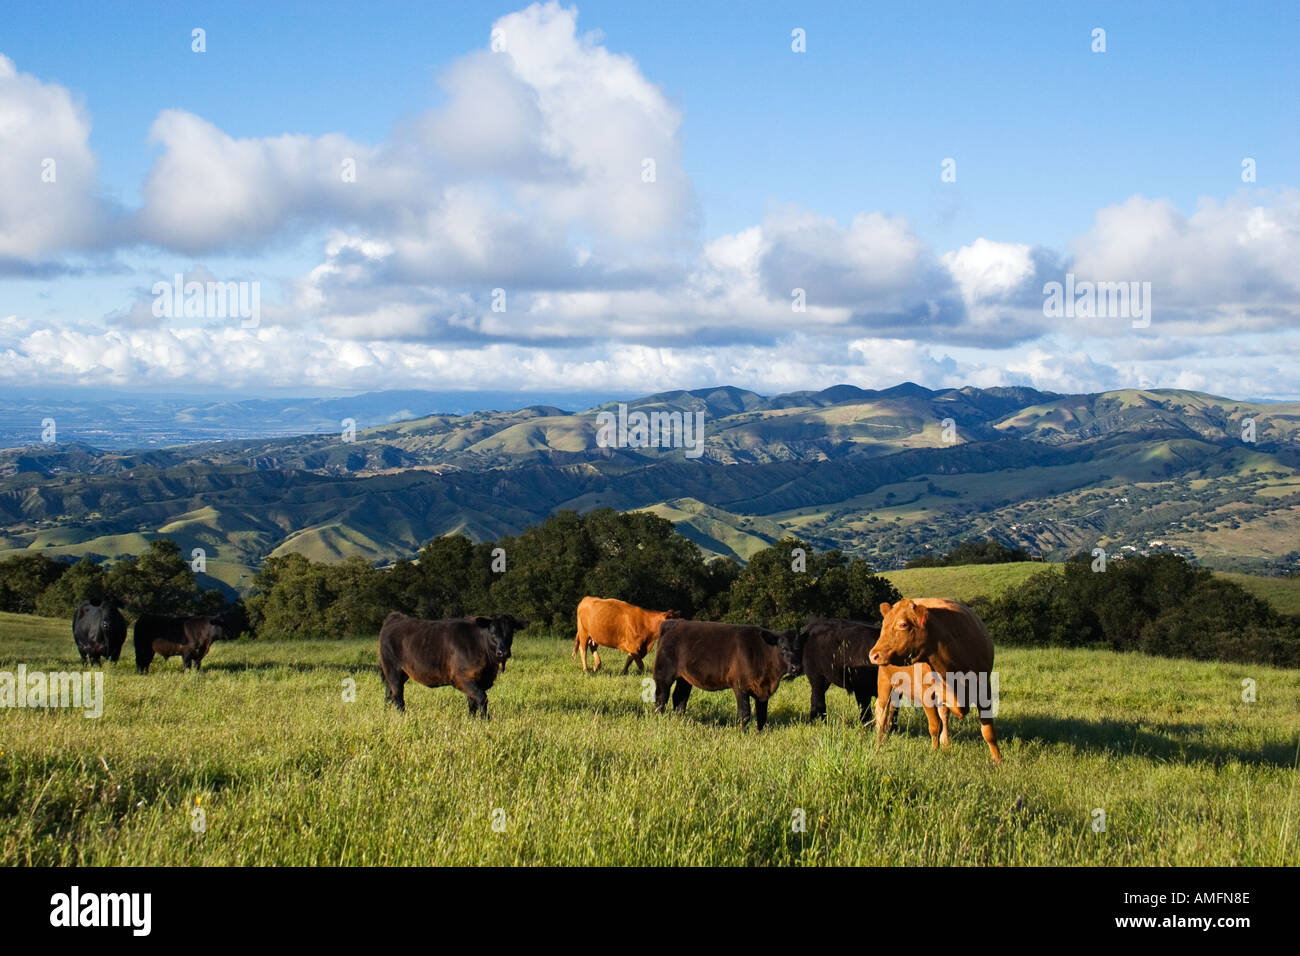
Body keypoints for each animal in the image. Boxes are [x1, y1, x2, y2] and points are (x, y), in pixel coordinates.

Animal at [379, 613, 528, 718]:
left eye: (511, 632)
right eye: (493, 632)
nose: (503, 652)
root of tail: (395, 617)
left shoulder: (475, 679)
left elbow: (472, 702)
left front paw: (471, 720)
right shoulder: (463, 678)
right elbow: (482, 698)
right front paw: (485, 720)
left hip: (400, 673)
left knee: (388, 693)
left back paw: (386, 713)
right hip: (393, 670)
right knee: (398, 695)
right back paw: (402, 716)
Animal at [652, 619, 802, 731]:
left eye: (798, 648)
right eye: (783, 648)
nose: (796, 667)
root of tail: (673, 623)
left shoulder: (763, 690)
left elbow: (762, 715)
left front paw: (760, 733)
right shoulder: (740, 686)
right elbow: (745, 713)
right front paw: (744, 733)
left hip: (685, 678)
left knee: (680, 697)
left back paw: (681, 720)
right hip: (663, 673)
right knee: (661, 697)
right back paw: (660, 718)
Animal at [868, 598, 1003, 763]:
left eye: (903, 624)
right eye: (884, 625)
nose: (873, 655)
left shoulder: (984, 689)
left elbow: (988, 730)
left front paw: (998, 759)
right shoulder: (926, 693)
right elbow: (934, 726)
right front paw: (934, 751)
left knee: (941, 714)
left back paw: (946, 745)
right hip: (884, 681)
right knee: (881, 712)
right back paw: (879, 745)